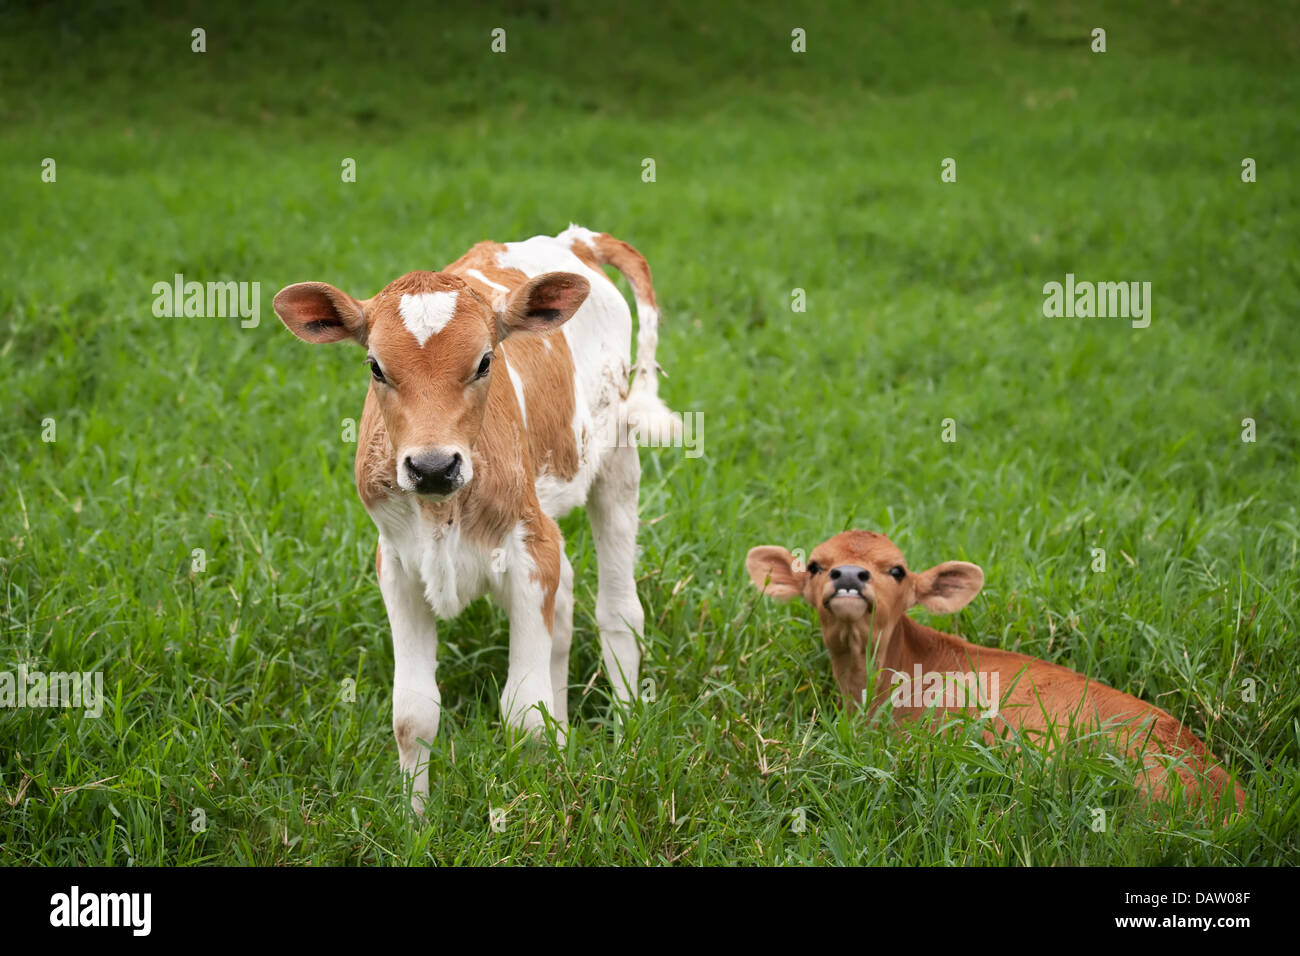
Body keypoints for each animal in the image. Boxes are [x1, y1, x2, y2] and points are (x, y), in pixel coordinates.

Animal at [274, 225, 679, 811]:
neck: (441, 511)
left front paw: (532, 810)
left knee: (620, 612)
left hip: (617, 459)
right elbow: (412, 714)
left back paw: (627, 745)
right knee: (567, 607)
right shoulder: (397, 565)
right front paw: (415, 819)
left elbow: (523, 716)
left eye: (486, 361)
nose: (432, 465)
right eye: (375, 366)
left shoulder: (529, 550)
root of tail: (574, 239)